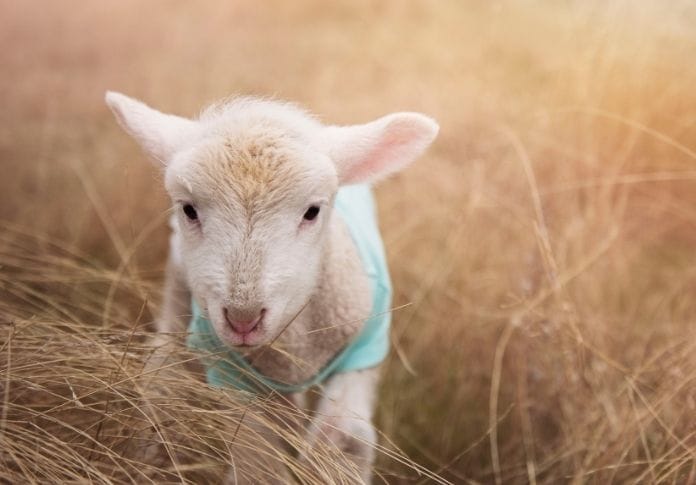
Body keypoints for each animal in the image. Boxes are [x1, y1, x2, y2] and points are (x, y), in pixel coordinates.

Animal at [105, 91, 438, 483]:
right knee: (165, 378)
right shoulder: (238, 376)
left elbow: (344, 442)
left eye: (312, 211)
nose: (243, 318)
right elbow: (258, 462)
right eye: (188, 209)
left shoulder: (362, 351)